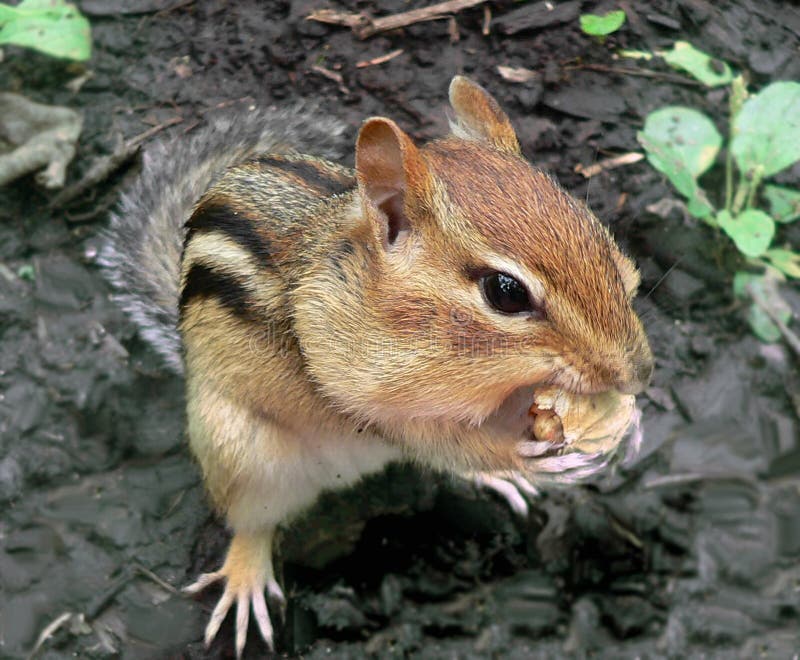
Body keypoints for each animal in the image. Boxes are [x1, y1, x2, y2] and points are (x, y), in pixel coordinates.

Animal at [99, 76, 652, 657]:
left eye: (608, 246)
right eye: (506, 292)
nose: (640, 373)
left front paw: (626, 426)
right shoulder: (346, 385)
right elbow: (431, 437)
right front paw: (519, 456)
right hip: (241, 452)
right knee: (253, 523)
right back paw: (244, 581)